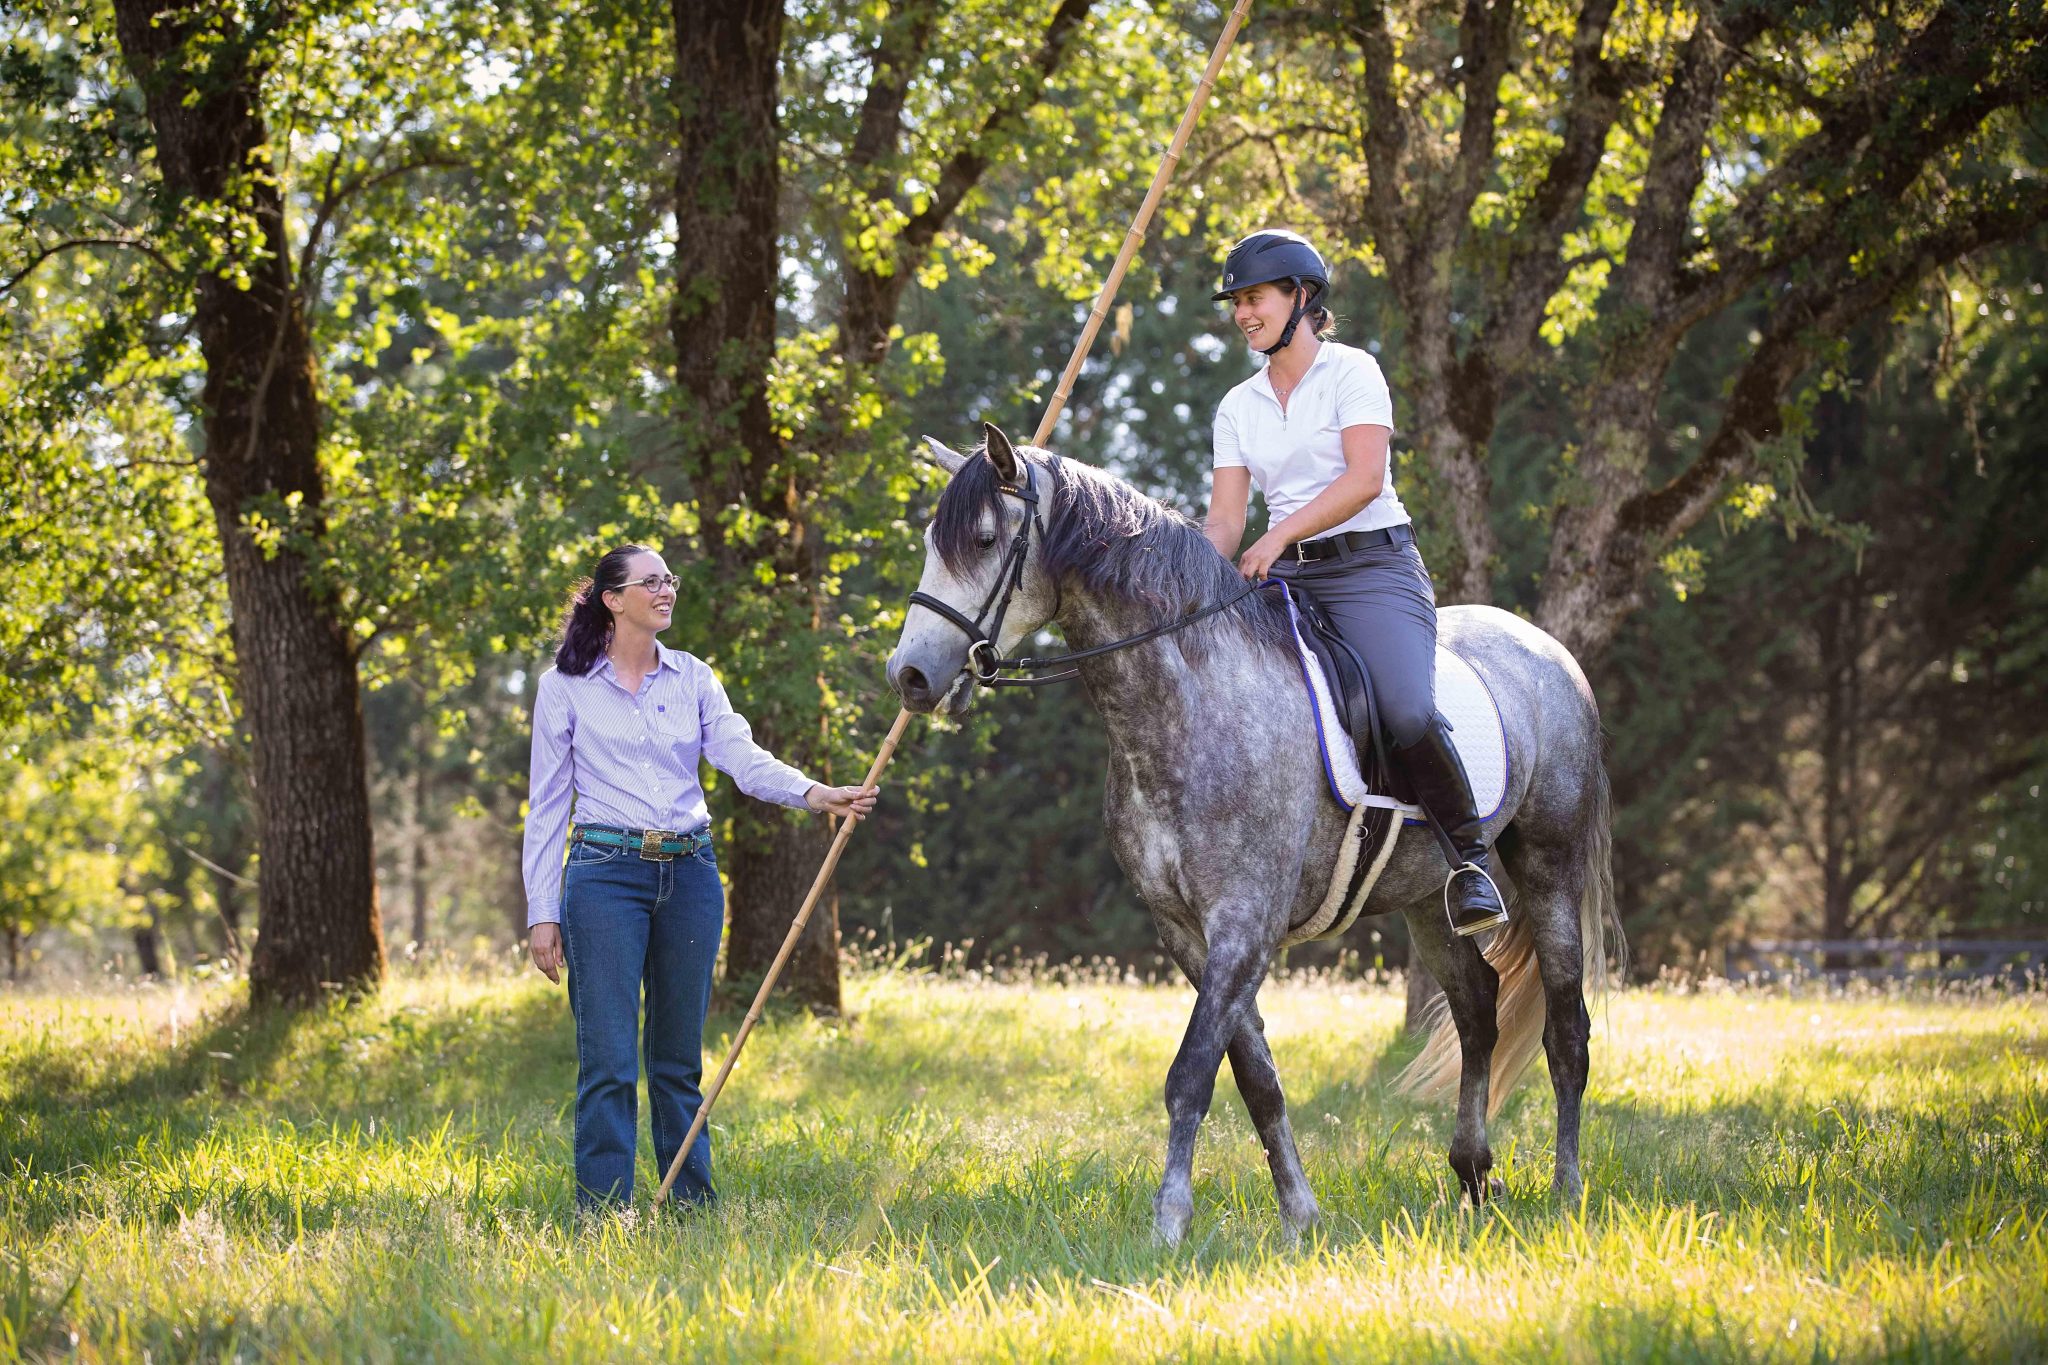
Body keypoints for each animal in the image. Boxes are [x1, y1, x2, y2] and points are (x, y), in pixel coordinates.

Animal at [886, 423, 1624, 1244]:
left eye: (985, 540)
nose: (910, 677)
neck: (1187, 704)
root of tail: (1547, 649)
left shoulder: (1244, 923)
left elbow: (1191, 1073)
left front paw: (1169, 1220)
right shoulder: (1186, 931)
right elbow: (1254, 1076)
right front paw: (1300, 1214)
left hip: (1551, 867)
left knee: (1565, 1030)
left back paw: (1566, 1190)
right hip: (1426, 896)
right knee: (1477, 1008)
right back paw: (1471, 1174)